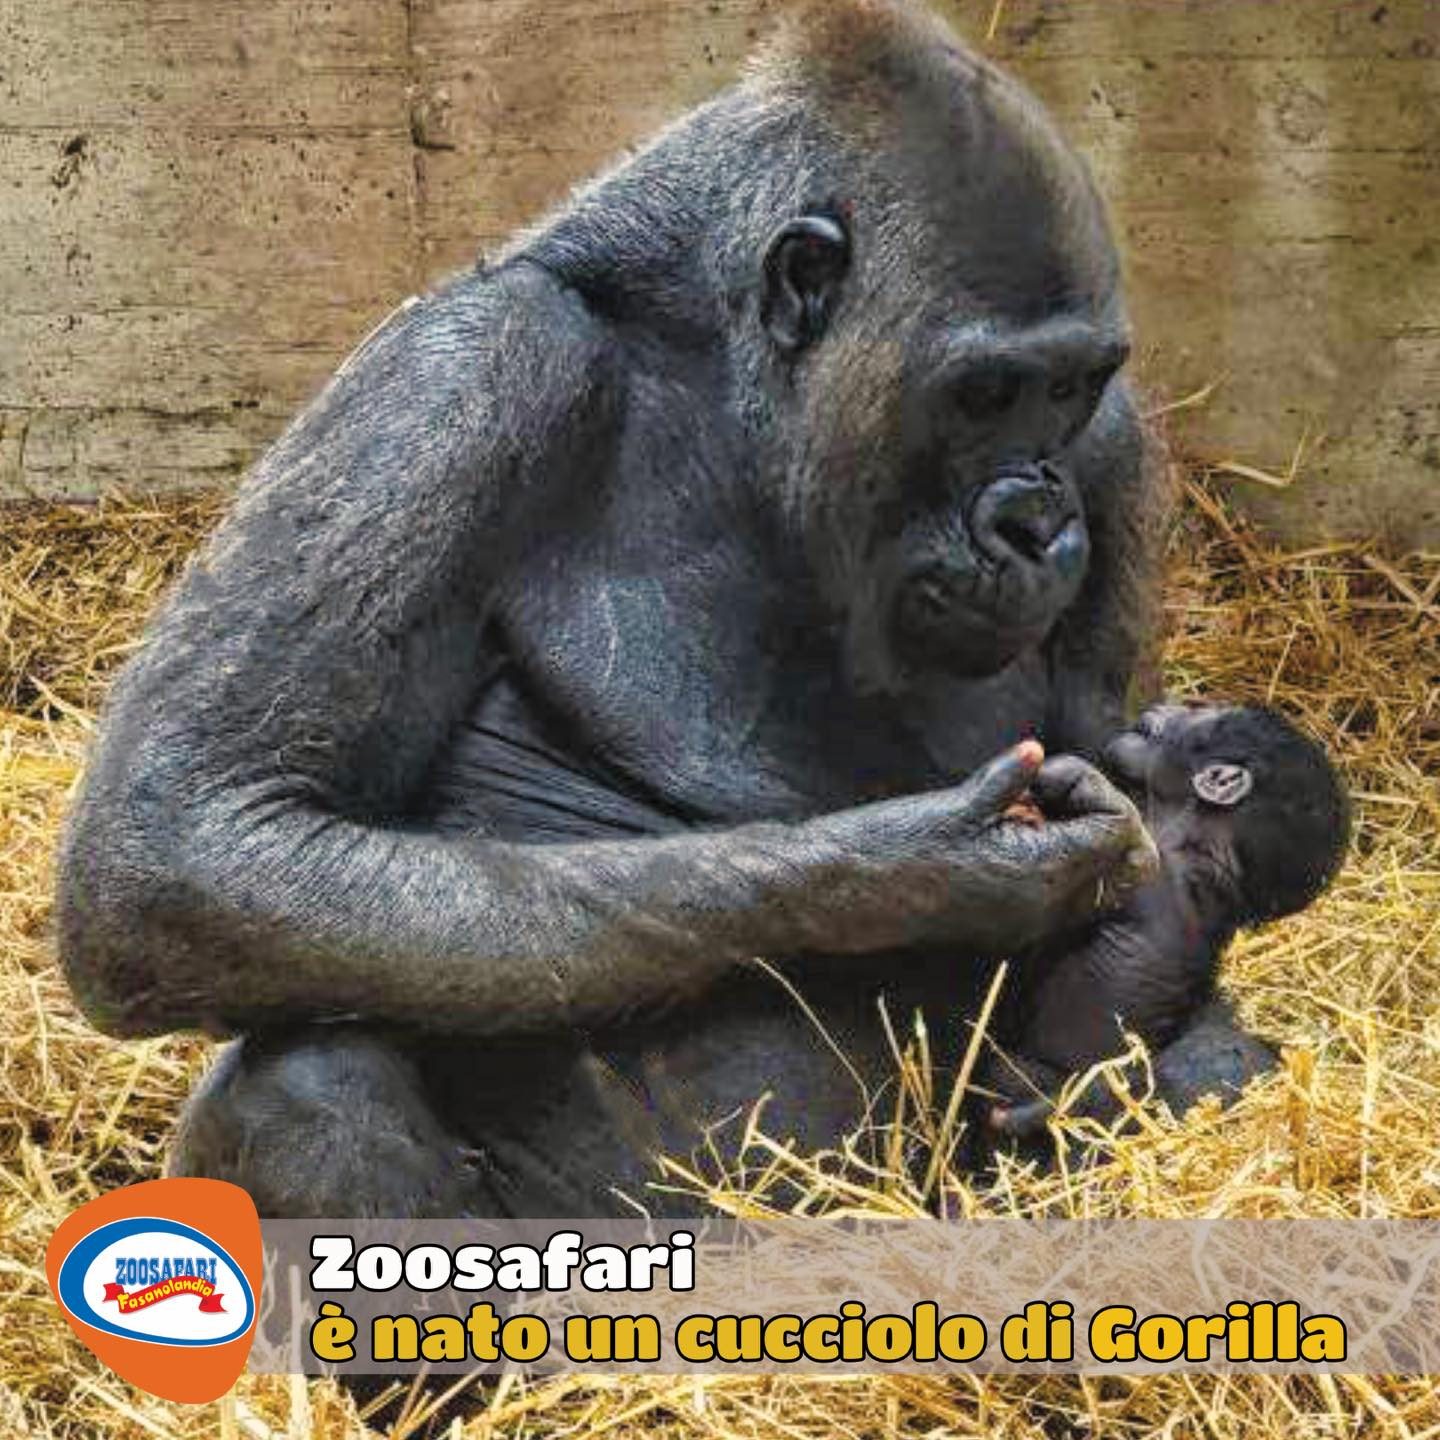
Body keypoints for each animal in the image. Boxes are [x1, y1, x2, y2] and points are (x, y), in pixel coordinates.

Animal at [54, 0, 1248, 1219]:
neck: (730, 365)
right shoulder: (465, 378)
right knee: (310, 1079)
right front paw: (926, 872)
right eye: (985, 393)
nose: (1034, 519)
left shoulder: (1116, 448)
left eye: (1068, 387)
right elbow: (188, 838)